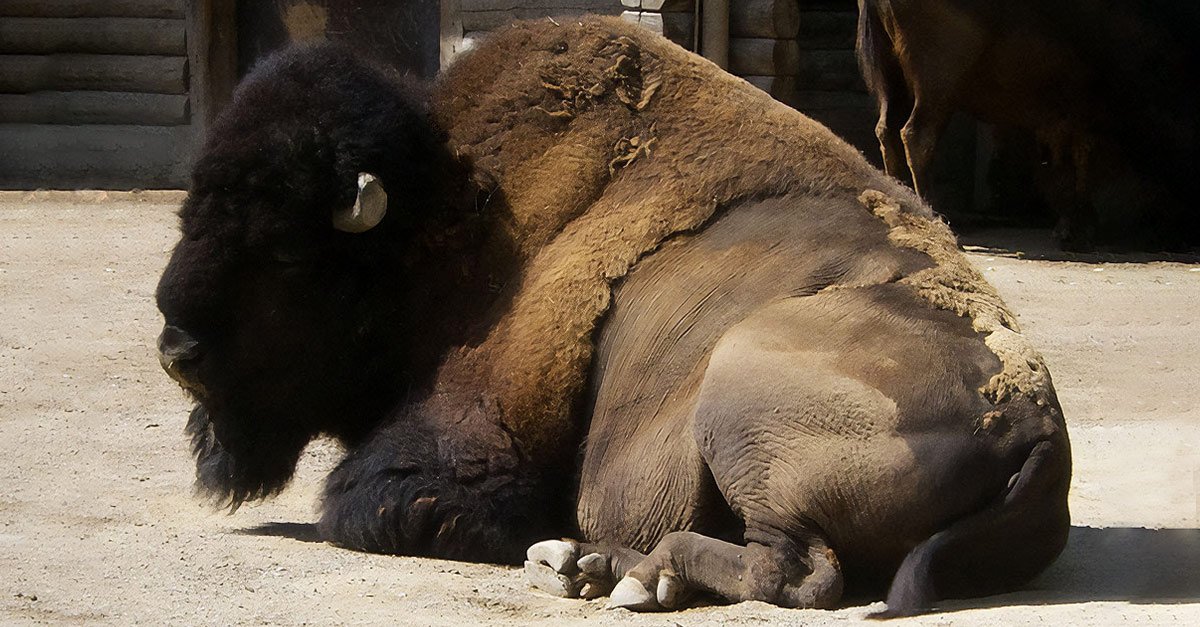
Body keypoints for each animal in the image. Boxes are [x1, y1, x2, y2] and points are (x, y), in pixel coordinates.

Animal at [156, 17, 1071, 616]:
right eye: (191, 210)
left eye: (287, 253)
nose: (176, 348)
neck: (449, 213)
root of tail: (1038, 426)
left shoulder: (470, 440)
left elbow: (373, 501)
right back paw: (584, 563)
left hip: (737, 394)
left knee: (797, 571)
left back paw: (627, 574)